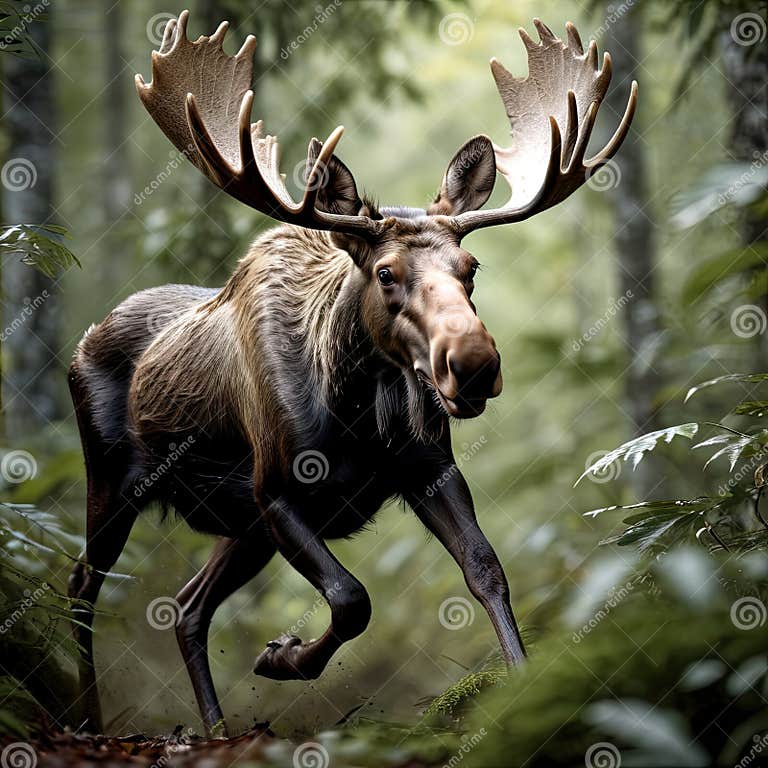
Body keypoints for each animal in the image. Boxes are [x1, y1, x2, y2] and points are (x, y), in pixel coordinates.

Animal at [67, 11, 636, 736]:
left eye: (471, 268)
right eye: (386, 273)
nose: (474, 364)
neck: (358, 416)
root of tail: (83, 342)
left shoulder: (427, 468)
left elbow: (487, 570)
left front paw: (521, 690)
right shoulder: (276, 489)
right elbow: (351, 596)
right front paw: (282, 657)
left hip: (239, 529)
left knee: (188, 605)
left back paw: (217, 727)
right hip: (117, 480)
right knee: (83, 587)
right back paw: (87, 719)